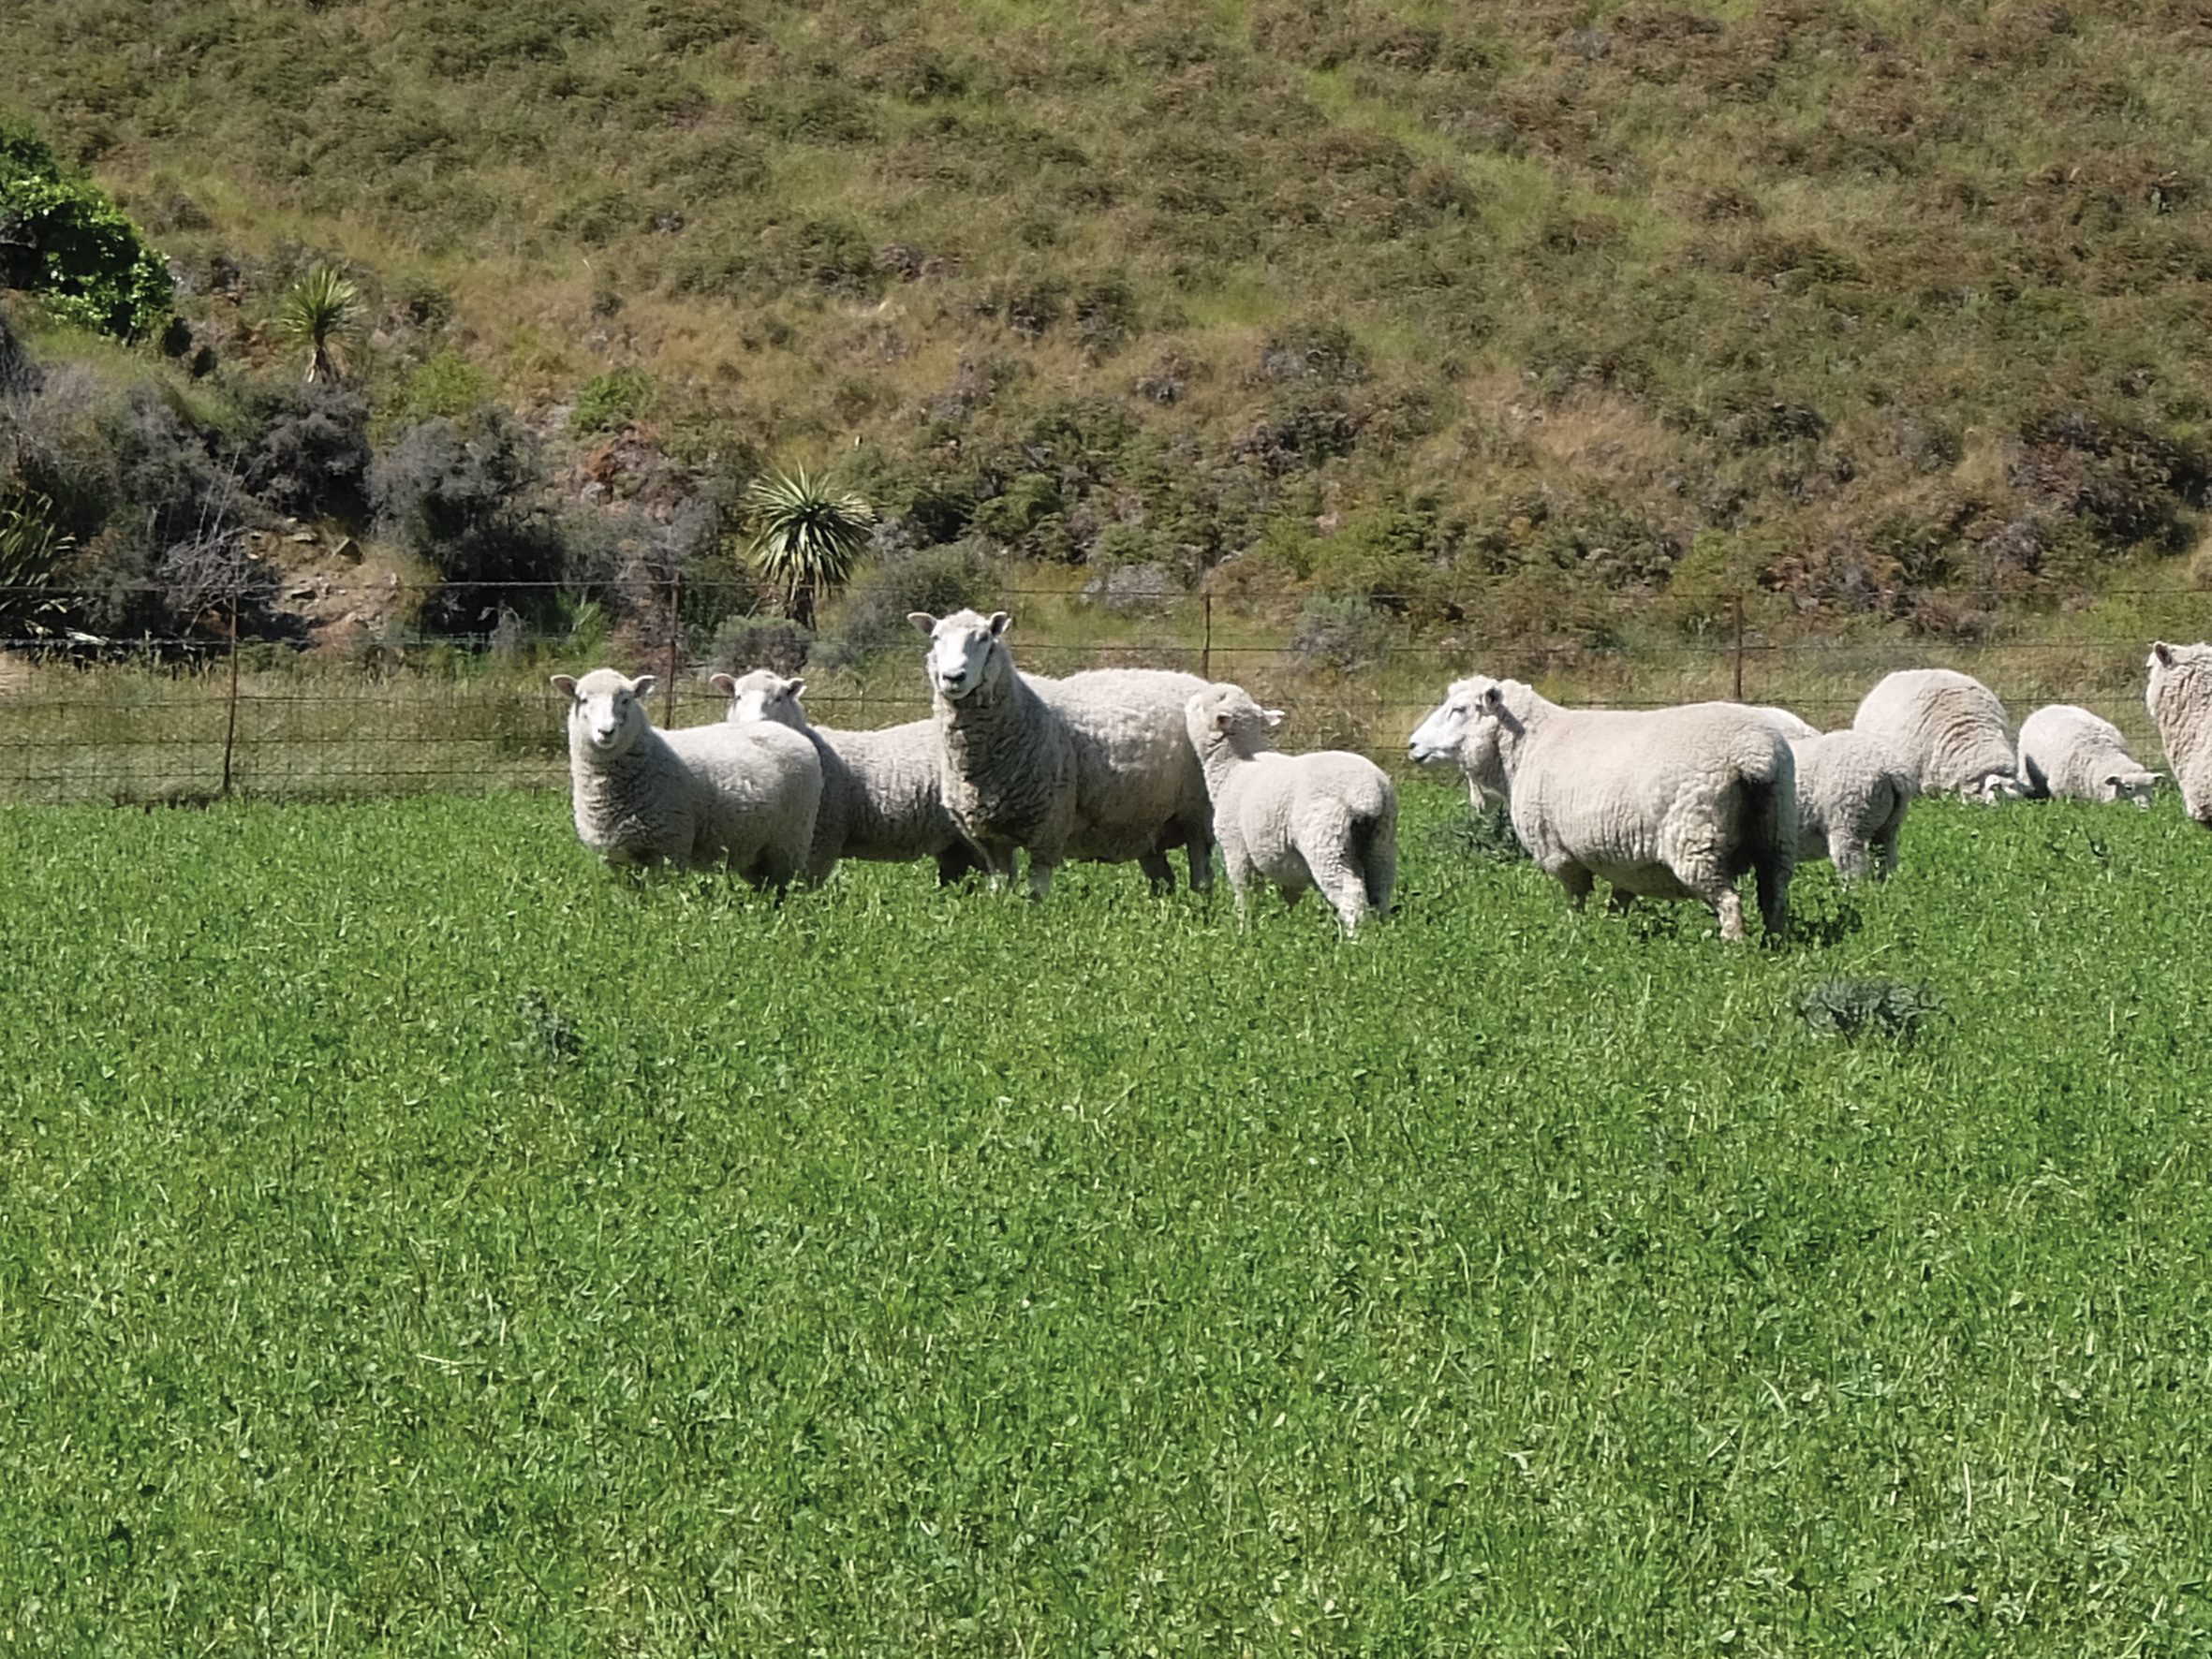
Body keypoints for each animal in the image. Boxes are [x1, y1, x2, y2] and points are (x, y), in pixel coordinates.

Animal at [551, 668, 820, 888]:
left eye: (626, 699)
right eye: (582, 699)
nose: (606, 731)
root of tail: (783, 729)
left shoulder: (669, 847)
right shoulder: (616, 857)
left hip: (790, 842)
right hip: (756, 845)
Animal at [907, 608, 1214, 898]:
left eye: (984, 638)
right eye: (936, 638)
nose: (953, 678)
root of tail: (1202, 684)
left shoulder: (1048, 824)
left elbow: (1037, 891)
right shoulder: (988, 838)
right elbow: (1000, 887)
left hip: (1198, 812)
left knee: (1201, 874)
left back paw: (1201, 907)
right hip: (1145, 821)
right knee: (1164, 879)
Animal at [1184, 682, 1397, 934]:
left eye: (1200, 707)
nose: (1187, 702)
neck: (1233, 766)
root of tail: (1367, 792)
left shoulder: (1235, 846)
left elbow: (1245, 893)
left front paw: (1244, 929)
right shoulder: (1286, 862)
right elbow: (1291, 895)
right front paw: (1290, 926)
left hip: (1326, 840)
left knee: (1349, 892)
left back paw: (1356, 937)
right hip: (1381, 838)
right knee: (1381, 886)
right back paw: (1381, 933)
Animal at [1411, 677, 1795, 941]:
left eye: (1459, 709)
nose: (1413, 745)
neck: (1526, 747)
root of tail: (1754, 753)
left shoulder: (1556, 850)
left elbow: (1576, 897)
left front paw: (1575, 930)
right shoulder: (1622, 853)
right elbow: (1620, 896)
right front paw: (1614, 929)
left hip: (1696, 840)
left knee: (1730, 901)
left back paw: (1733, 946)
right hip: (1776, 835)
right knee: (1775, 896)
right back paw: (1775, 943)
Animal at [2016, 704, 2162, 808]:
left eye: (2151, 787)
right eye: (2128, 788)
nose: (2145, 808)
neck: (2102, 755)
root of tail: (2049, 707)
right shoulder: (2060, 791)